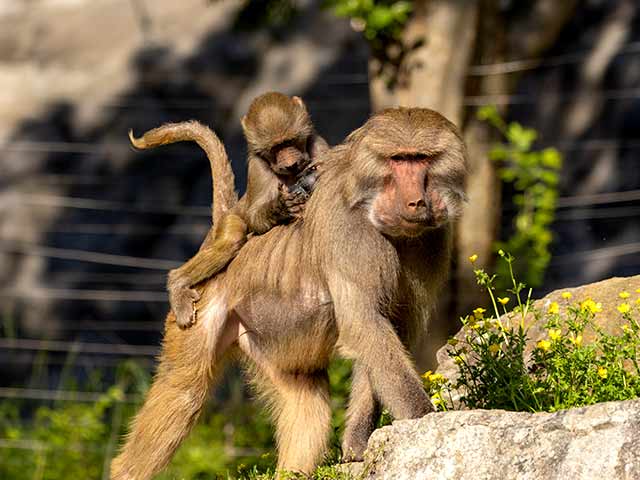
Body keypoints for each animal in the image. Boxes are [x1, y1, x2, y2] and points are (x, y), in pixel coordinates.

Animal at [128, 92, 329, 329]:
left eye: (289, 142)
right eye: (275, 149)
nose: (290, 163)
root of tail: (227, 212)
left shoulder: (318, 144)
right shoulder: (258, 166)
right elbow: (255, 218)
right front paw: (281, 208)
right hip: (227, 222)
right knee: (232, 239)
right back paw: (177, 284)